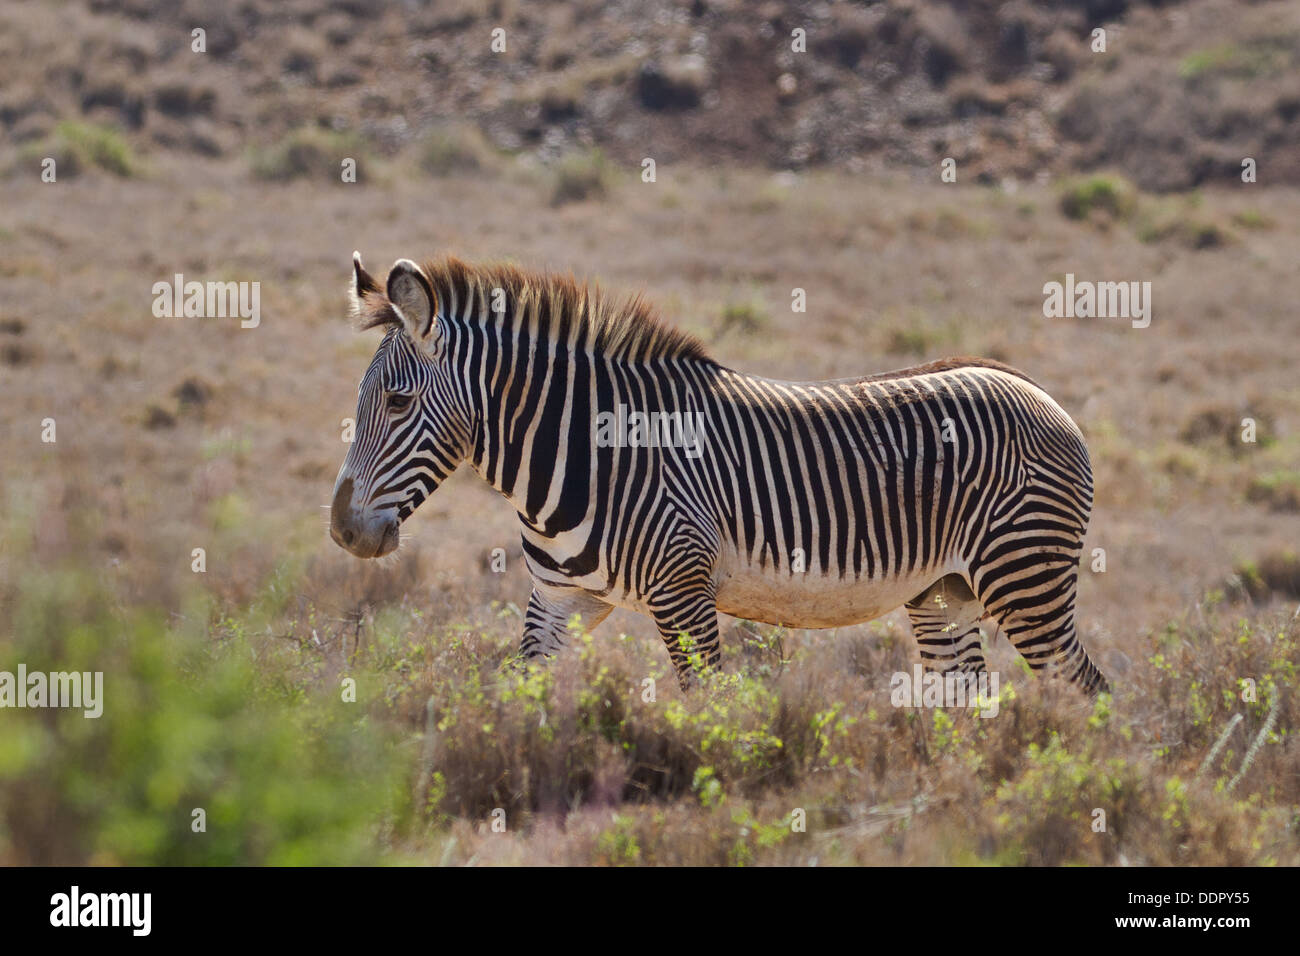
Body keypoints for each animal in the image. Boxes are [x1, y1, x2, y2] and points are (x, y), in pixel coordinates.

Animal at [330, 253, 1109, 695]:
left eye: (396, 403)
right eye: (360, 402)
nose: (342, 532)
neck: (588, 453)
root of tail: (1038, 391)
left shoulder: (683, 592)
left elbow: (711, 713)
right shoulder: (561, 598)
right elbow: (518, 694)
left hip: (1025, 578)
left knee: (1086, 692)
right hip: (945, 594)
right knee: (971, 702)